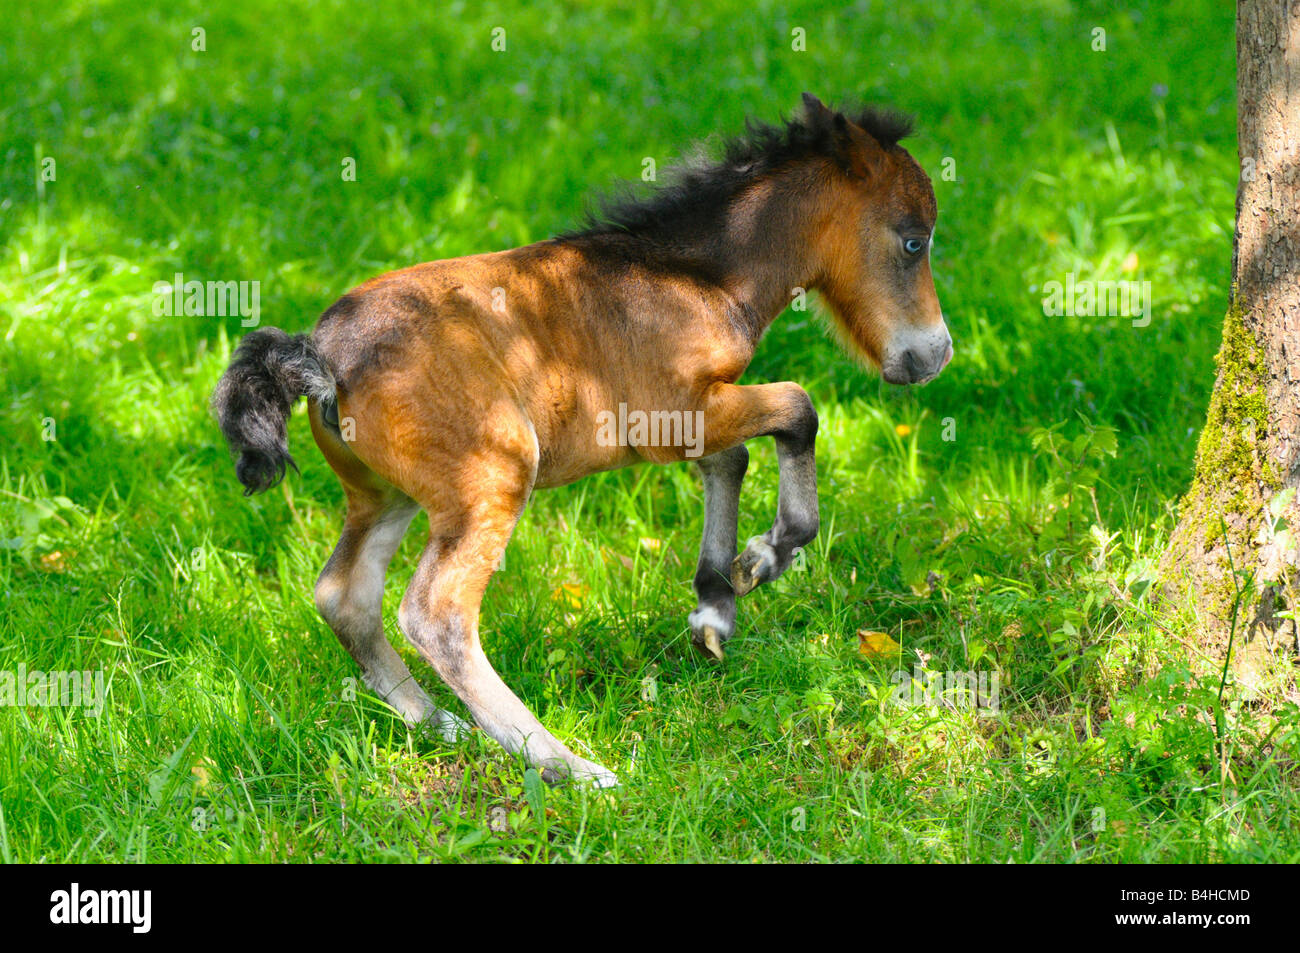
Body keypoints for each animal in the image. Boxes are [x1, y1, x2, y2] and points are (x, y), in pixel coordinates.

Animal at [212, 93, 952, 788]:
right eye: (914, 241)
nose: (934, 355)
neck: (695, 277)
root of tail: (318, 354)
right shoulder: (674, 411)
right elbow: (799, 410)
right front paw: (767, 556)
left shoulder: (691, 418)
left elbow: (733, 458)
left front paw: (715, 607)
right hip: (495, 475)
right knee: (434, 614)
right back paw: (566, 765)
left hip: (385, 496)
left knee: (345, 594)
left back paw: (439, 723)